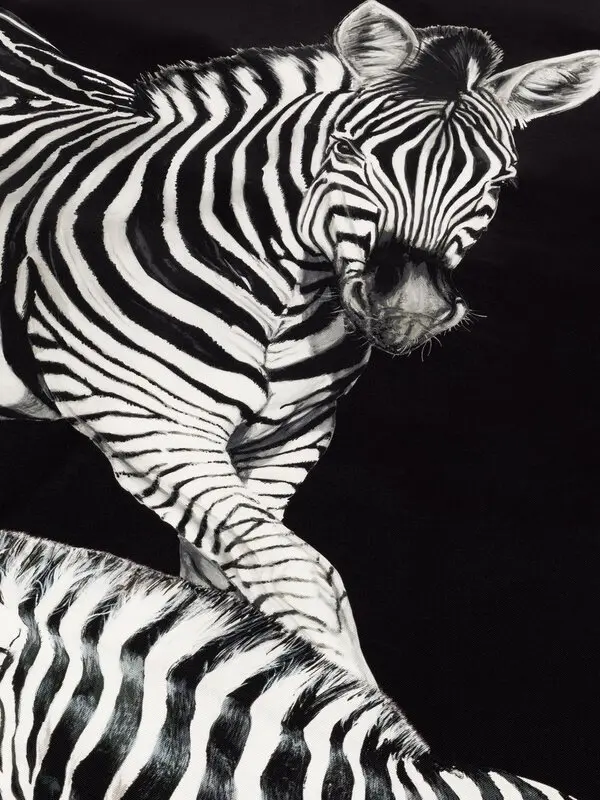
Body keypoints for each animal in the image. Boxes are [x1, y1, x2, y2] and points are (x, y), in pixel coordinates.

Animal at [0, 1, 599, 680]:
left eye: (498, 183)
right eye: (347, 149)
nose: (411, 309)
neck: (287, 301)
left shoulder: (284, 443)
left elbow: (227, 587)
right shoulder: (153, 430)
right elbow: (299, 579)